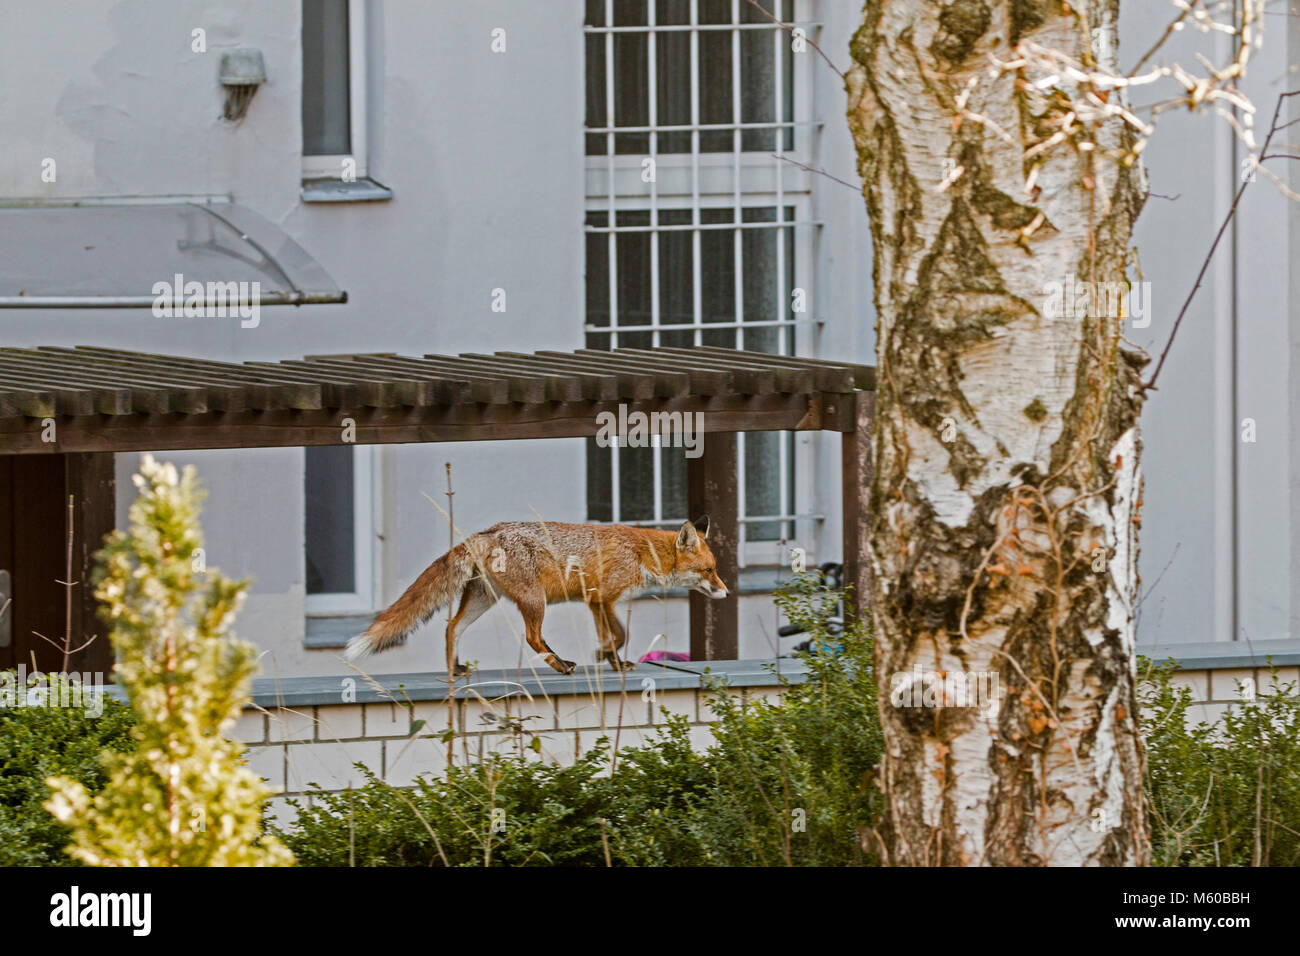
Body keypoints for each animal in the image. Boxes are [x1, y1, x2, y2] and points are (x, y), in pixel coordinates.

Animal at [344, 515, 728, 675]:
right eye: (710, 570)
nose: (725, 591)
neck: (642, 552)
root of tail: (488, 532)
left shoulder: (597, 603)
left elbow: (614, 637)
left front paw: (614, 662)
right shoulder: (601, 598)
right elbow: (620, 634)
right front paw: (604, 655)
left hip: (485, 600)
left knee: (452, 626)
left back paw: (454, 669)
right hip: (534, 600)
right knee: (532, 637)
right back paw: (561, 664)